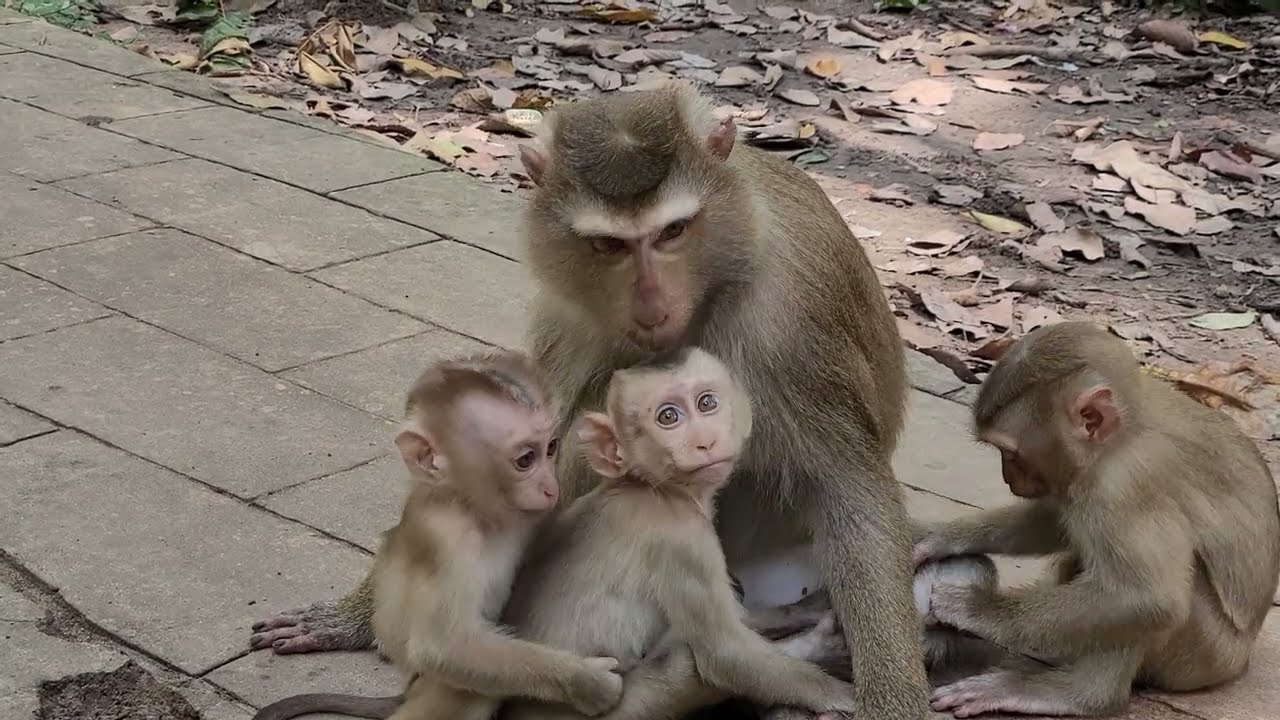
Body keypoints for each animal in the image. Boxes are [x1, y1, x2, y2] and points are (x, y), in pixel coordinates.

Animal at [252, 351, 623, 720]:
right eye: (525, 460)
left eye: (551, 448)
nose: (550, 487)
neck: (471, 508)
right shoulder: (448, 543)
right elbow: (445, 649)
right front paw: (586, 682)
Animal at [499, 347, 856, 720]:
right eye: (668, 417)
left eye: (707, 403)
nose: (705, 442)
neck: (655, 488)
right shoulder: (684, 540)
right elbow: (726, 656)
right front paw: (838, 692)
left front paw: (801, 611)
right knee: (687, 660)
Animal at [910, 321, 1280, 718]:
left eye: (1010, 453)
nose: (1008, 477)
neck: (1124, 432)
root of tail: (1240, 661)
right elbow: (1057, 522)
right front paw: (937, 537)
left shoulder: (1124, 485)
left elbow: (1149, 598)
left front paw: (973, 607)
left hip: (1203, 656)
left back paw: (1078, 696)